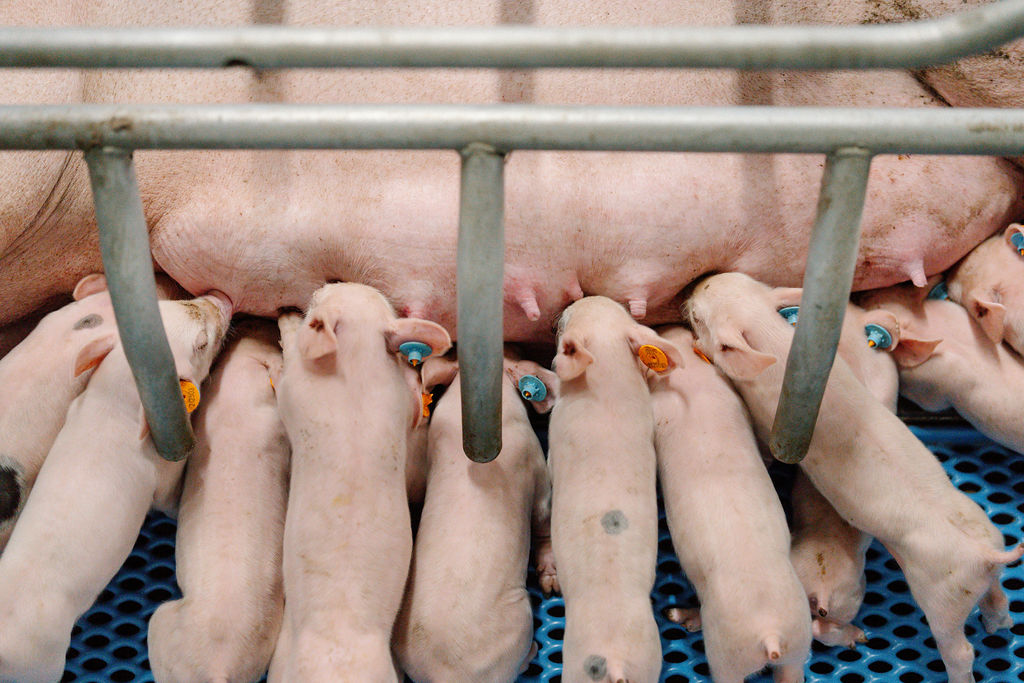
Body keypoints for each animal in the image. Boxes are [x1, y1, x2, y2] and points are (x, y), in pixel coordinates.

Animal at [0, 291, 231, 682]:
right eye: (201, 343)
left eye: (167, 306)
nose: (222, 297)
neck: (115, 401)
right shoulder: (160, 471)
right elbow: (168, 498)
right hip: (43, 664)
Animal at [268, 283, 451, 682]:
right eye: (381, 298)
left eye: (317, 303)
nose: (331, 281)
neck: (356, 364)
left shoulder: (293, 390)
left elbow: (287, 362)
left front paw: (285, 323)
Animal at [393, 346, 557, 683]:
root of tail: (444, 676)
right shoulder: (535, 468)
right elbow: (543, 522)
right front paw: (552, 584)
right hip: (519, 624)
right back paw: (533, 651)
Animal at [651, 325, 811, 683]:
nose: (669, 327)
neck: (695, 382)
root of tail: (770, 633)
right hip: (798, 643)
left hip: (726, 653)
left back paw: (674, 614)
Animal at [684, 272, 1022, 683]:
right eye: (743, 279)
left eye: (699, 317)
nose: (700, 282)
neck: (776, 341)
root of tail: (987, 554)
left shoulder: (769, 423)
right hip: (985, 566)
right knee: (998, 595)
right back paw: (998, 624)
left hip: (942, 597)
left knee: (959, 649)